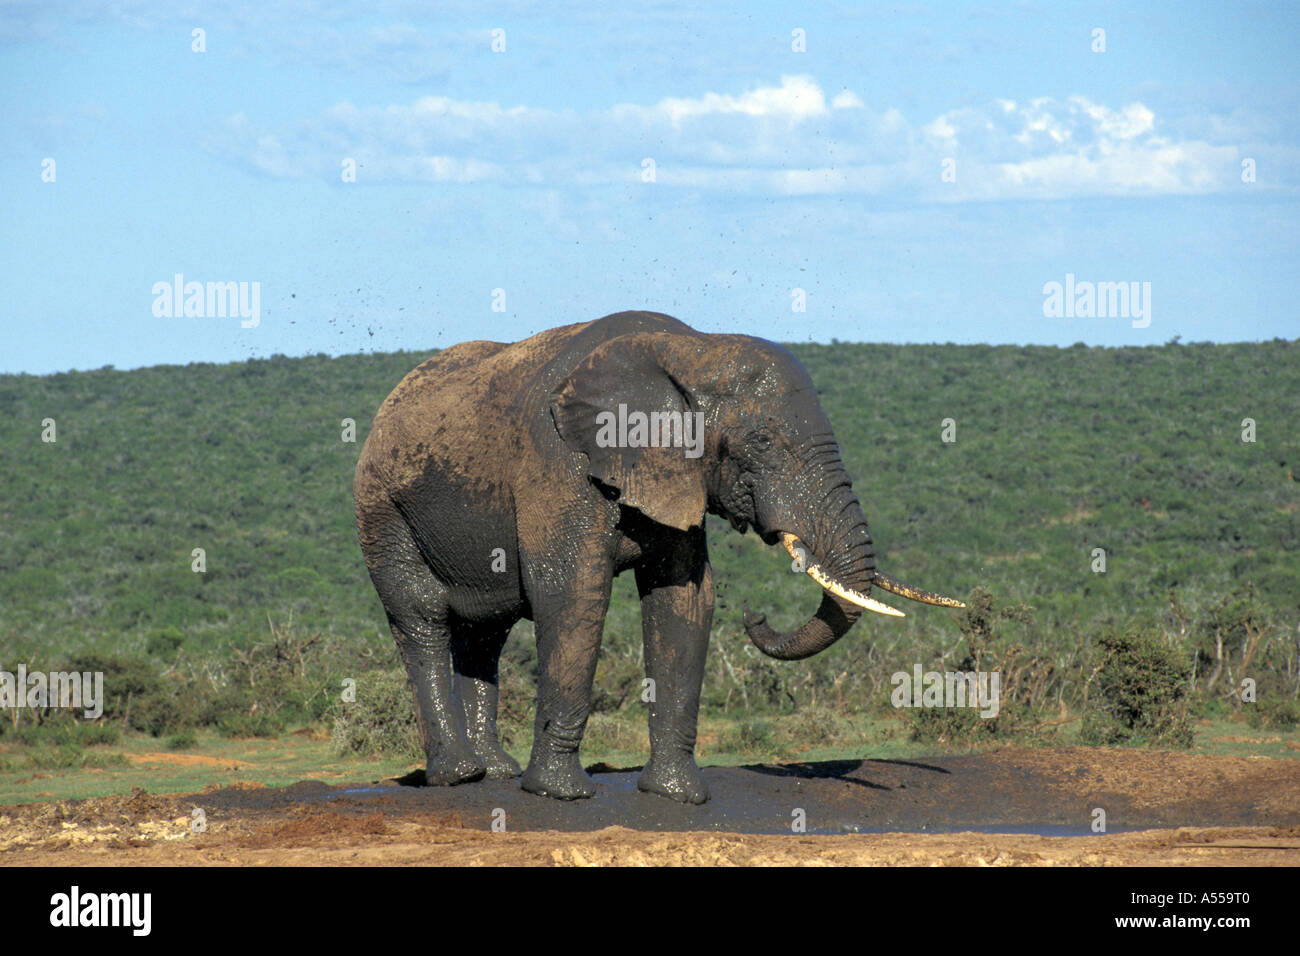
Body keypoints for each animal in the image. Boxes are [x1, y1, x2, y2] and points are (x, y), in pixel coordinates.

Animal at [353, 311, 963, 804]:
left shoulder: (676, 476)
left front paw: (679, 796)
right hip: (383, 511)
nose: (756, 616)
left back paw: (494, 773)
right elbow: (573, 593)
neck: (691, 348)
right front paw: (563, 795)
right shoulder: (559, 461)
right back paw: (459, 776)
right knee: (421, 615)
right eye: (763, 442)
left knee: (488, 630)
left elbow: (684, 599)